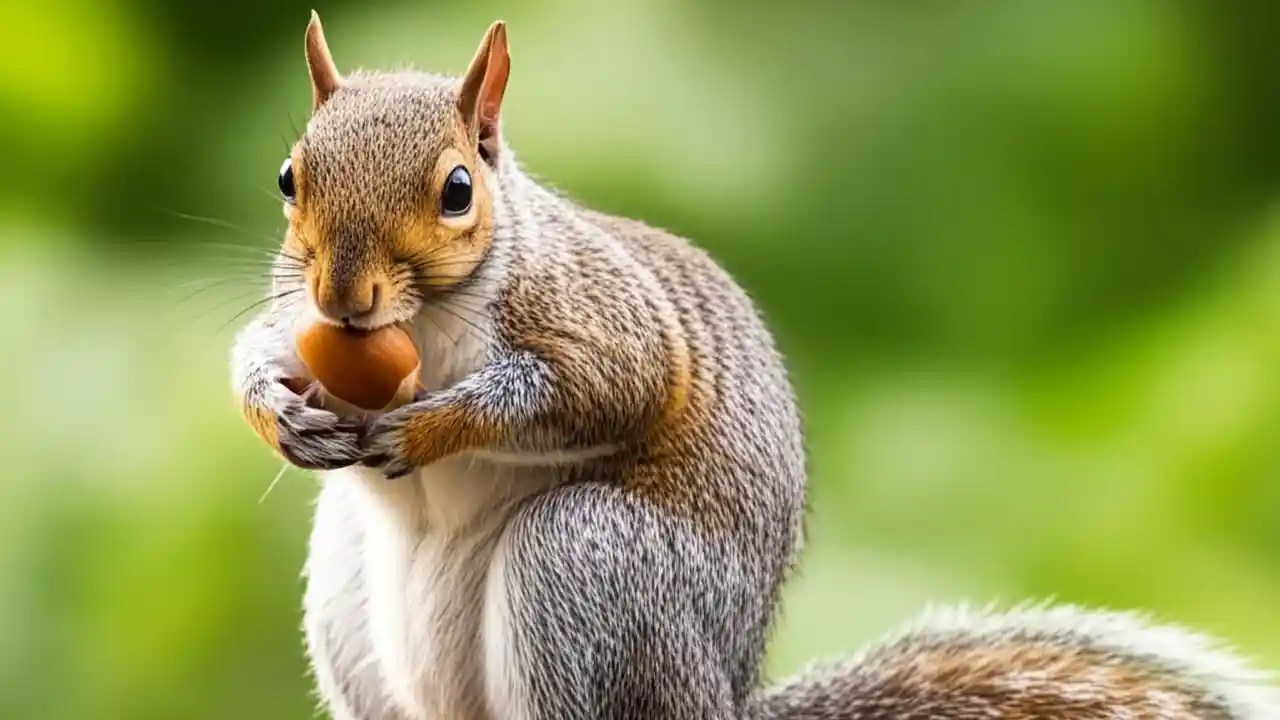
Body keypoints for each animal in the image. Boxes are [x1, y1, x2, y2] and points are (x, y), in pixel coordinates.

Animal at [229, 13, 1280, 720]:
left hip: (586, 567)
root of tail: (720, 703)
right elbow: (259, 345)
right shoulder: (294, 310)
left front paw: (429, 426)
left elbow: (596, 388)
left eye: (457, 191)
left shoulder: (602, 317)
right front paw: (273, 406)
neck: (433, 319)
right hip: (350, 597)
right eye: (288, 177)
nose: (344, 299)